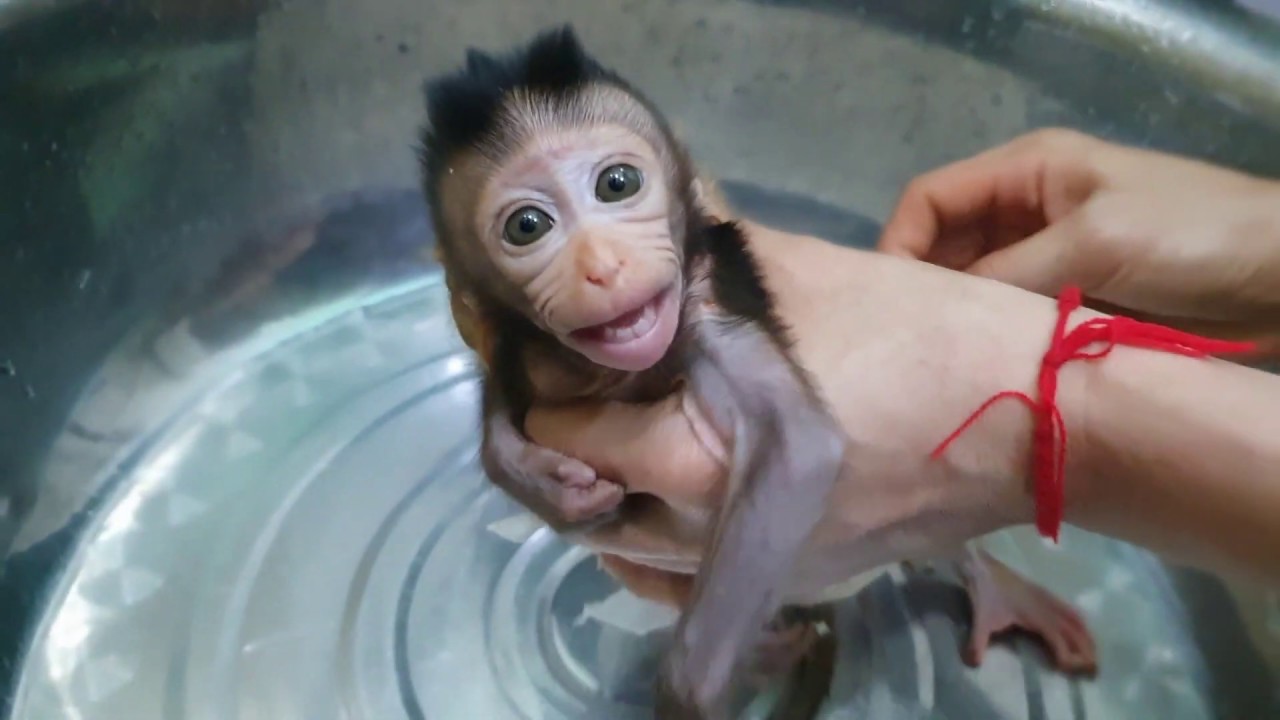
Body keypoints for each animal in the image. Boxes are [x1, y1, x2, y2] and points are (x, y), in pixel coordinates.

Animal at [418, 25, 1099, 719]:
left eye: (617, 184)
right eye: (527, 226)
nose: (602, 267)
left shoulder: (709, 304)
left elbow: (794, 446)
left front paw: (691, 694)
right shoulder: (517, 343)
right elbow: (505, 398)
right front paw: (541, 482)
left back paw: (989, 589)